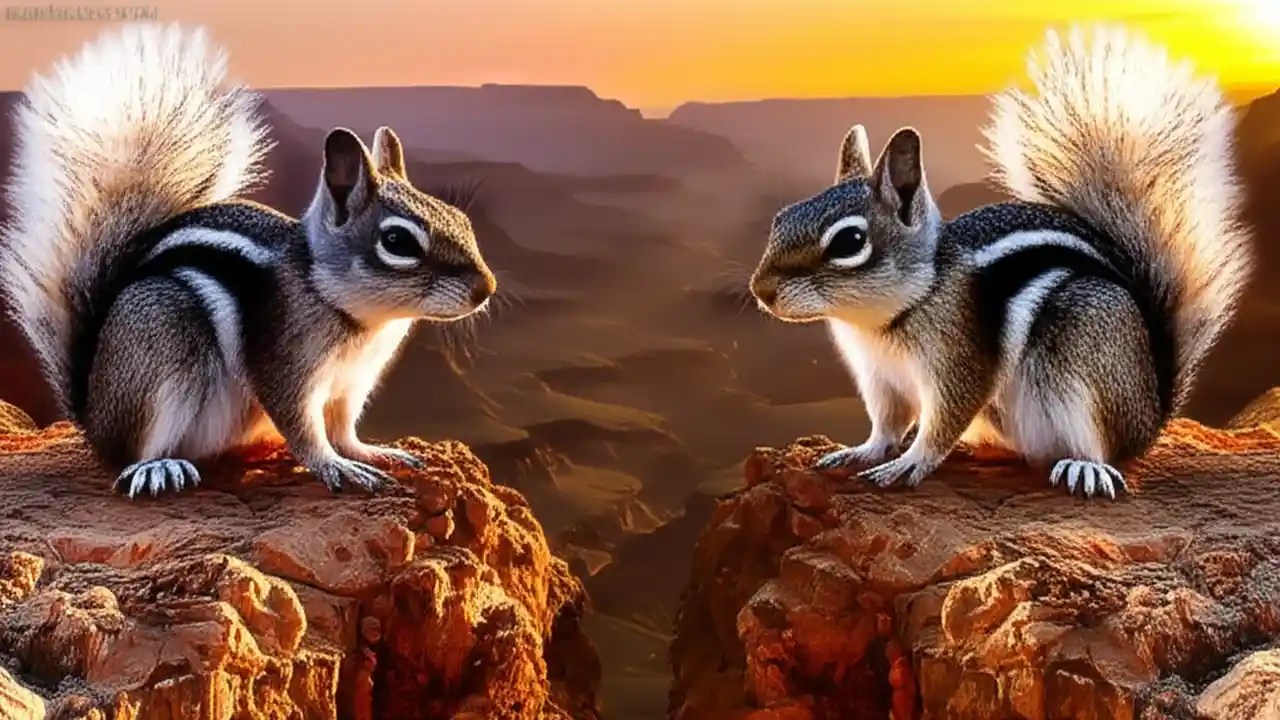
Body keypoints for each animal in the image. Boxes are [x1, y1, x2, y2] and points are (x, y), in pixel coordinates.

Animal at [0, 23, 498, 498]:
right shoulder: (284, 365)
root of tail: (92, 414)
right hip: (163, 335)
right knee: (129, 454)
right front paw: (334, 466)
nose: (485, 288)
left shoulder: (353, 382)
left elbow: (343, 427)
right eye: (397, 240)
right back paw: (157, 467)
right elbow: (304, 428)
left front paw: (372, 451)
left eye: (462, 219)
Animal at [748, 24, 1251, 500]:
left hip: (1085, 341)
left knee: (1103, 448)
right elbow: (887, 424)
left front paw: (910, 463)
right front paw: (861, 451)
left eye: (850, 241)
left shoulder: (961, 361)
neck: (893, 314)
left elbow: (942, 422)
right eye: (782, 217)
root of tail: (1152, 412)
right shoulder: (880, 379)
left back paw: (1084, 467)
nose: (760, 291)